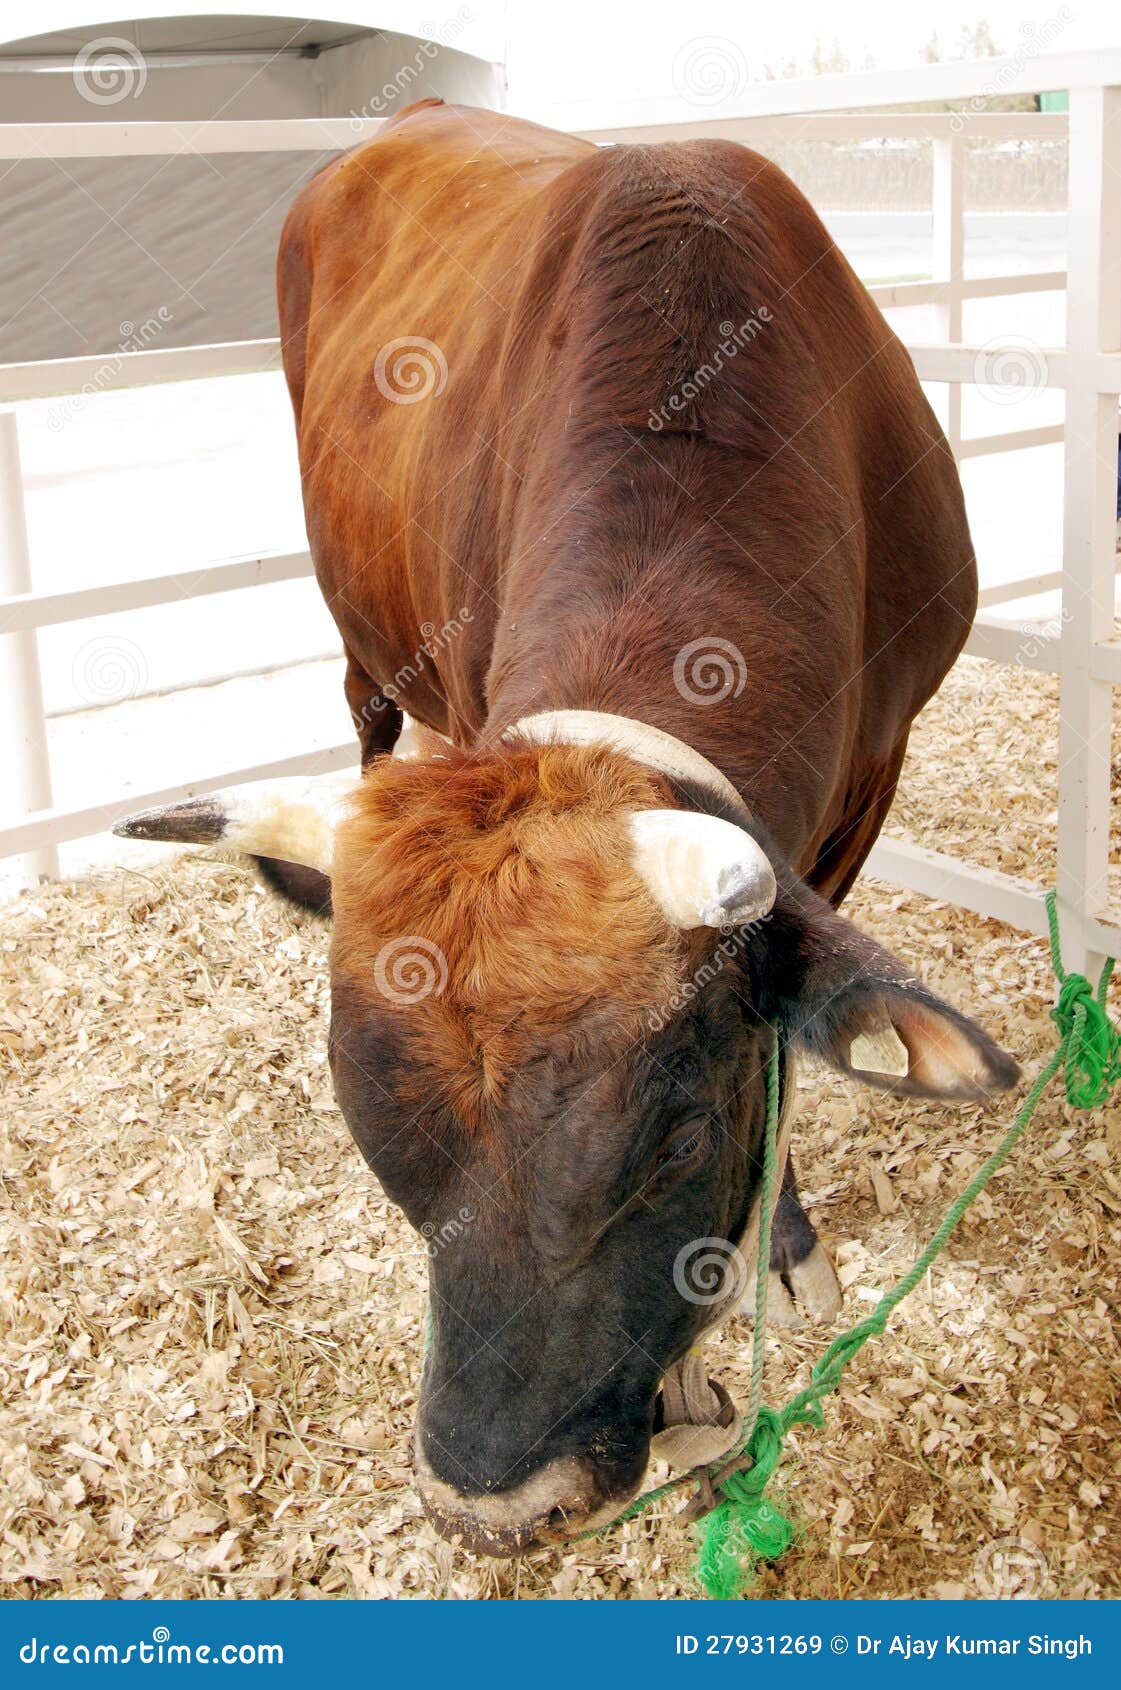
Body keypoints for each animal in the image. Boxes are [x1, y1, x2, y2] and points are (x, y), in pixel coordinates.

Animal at [116, 102, 1018, 1557]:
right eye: (382, 1147)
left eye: (676, 1142)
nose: (495, 1502)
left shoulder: (870, 776)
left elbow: (790, 1028)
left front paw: (786, 1246)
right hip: (366, 647)